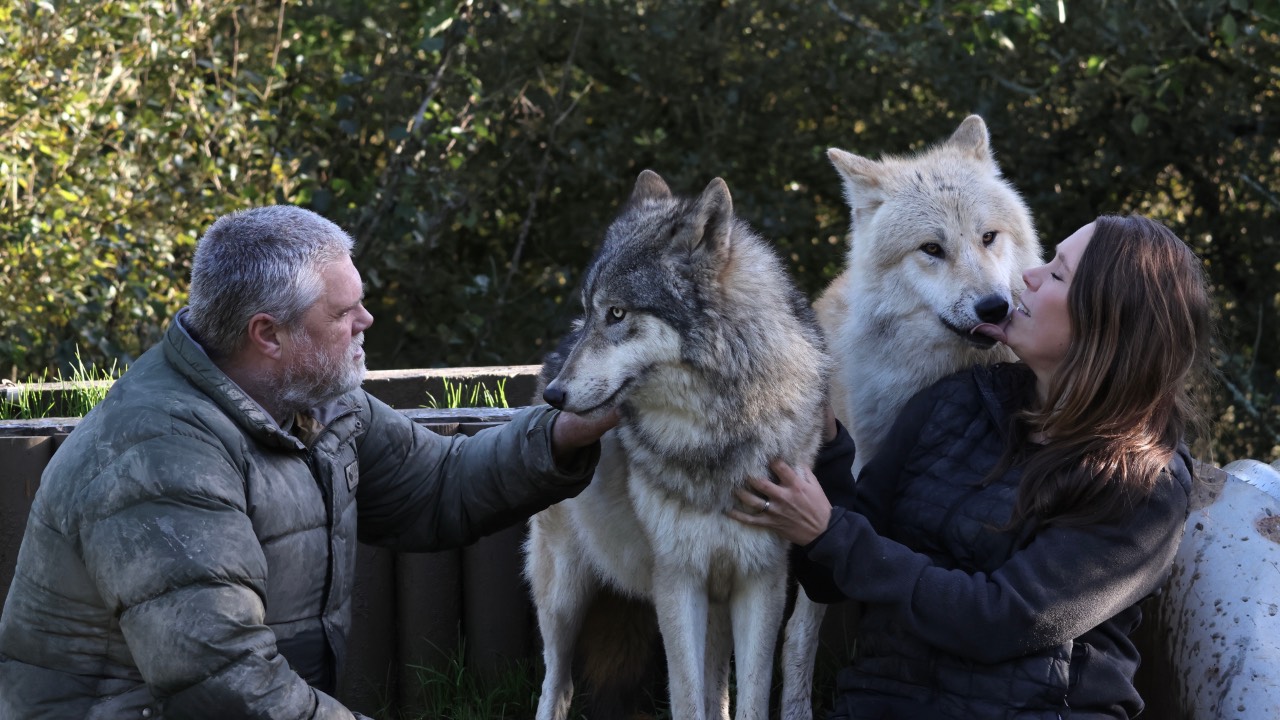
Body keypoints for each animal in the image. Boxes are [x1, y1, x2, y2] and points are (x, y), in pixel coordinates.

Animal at [525, 169, 830, 720]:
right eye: (591, 311)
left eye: (617, 313)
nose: (555, 397)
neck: (715, 433)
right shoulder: (677, 579)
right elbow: (687, 698)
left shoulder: (761, 580)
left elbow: (748, 699)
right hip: (562, 593)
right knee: (556, 683)